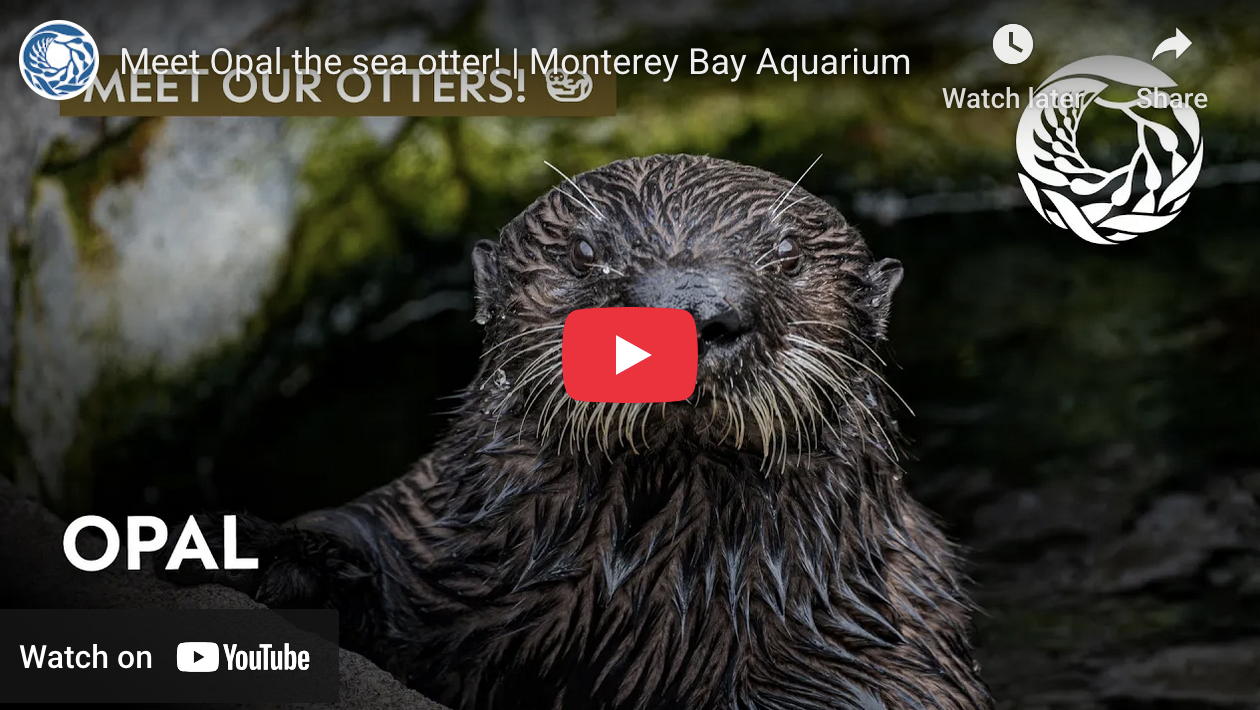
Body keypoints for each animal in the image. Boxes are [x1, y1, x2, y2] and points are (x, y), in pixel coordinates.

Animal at [161, 154, 993, 710]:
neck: (638, 607)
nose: (691, 307)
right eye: (587, 252)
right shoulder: (421, 543)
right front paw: (250, 553)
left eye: (787, 258)